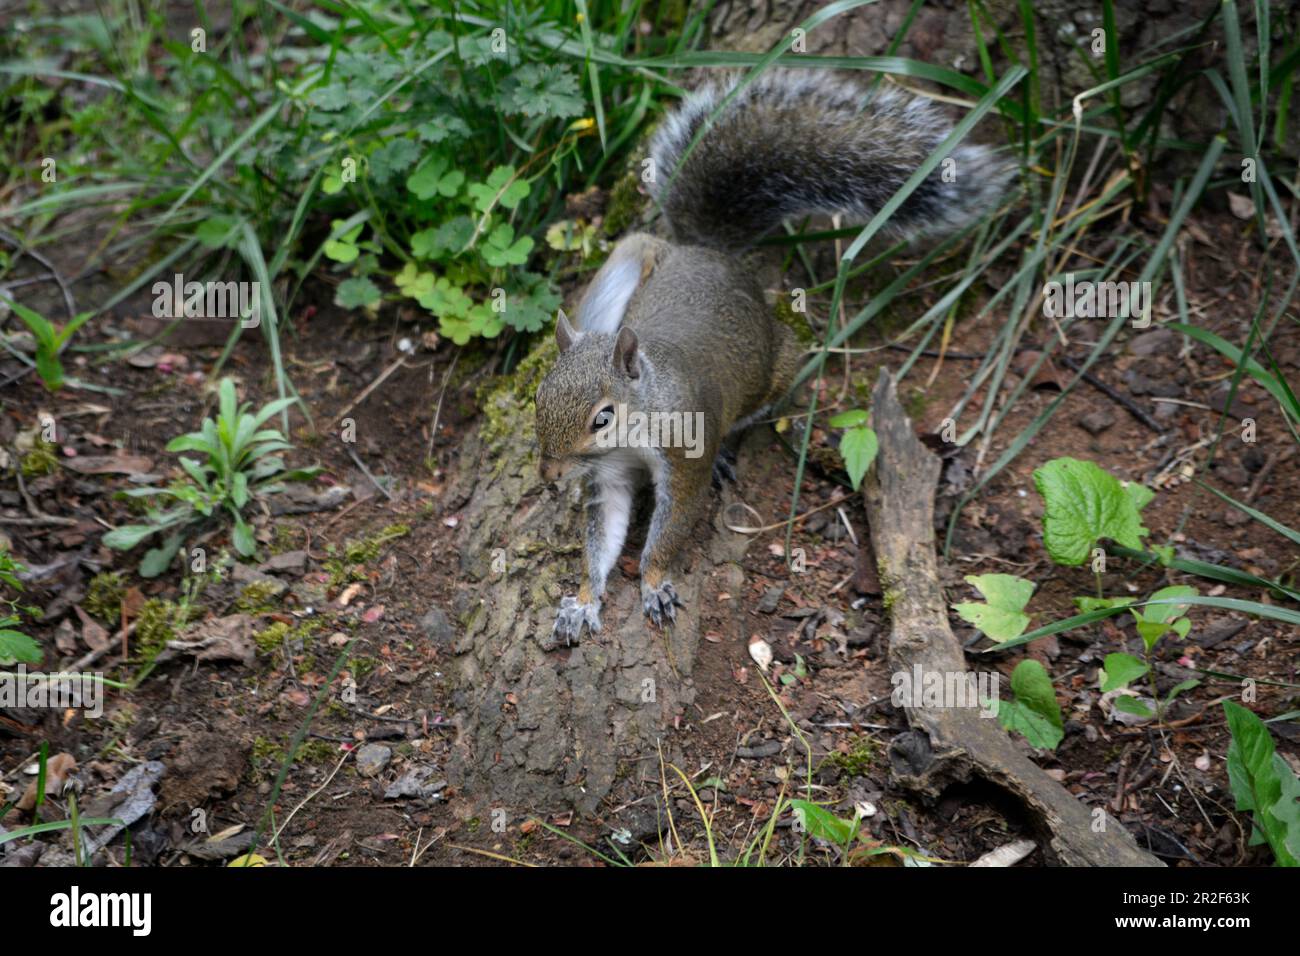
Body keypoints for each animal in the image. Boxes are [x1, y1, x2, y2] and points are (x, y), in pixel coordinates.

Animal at [534, 69, 1011, 645]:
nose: (549, 474)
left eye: (602, 417)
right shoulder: (609, 476)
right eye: (537, 396)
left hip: (780, 368)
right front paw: (583, 601)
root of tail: (711, 254)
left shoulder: (683, 456)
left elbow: (671, 526)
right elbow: (602, 534)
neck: (640, 419)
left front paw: (654, 584)